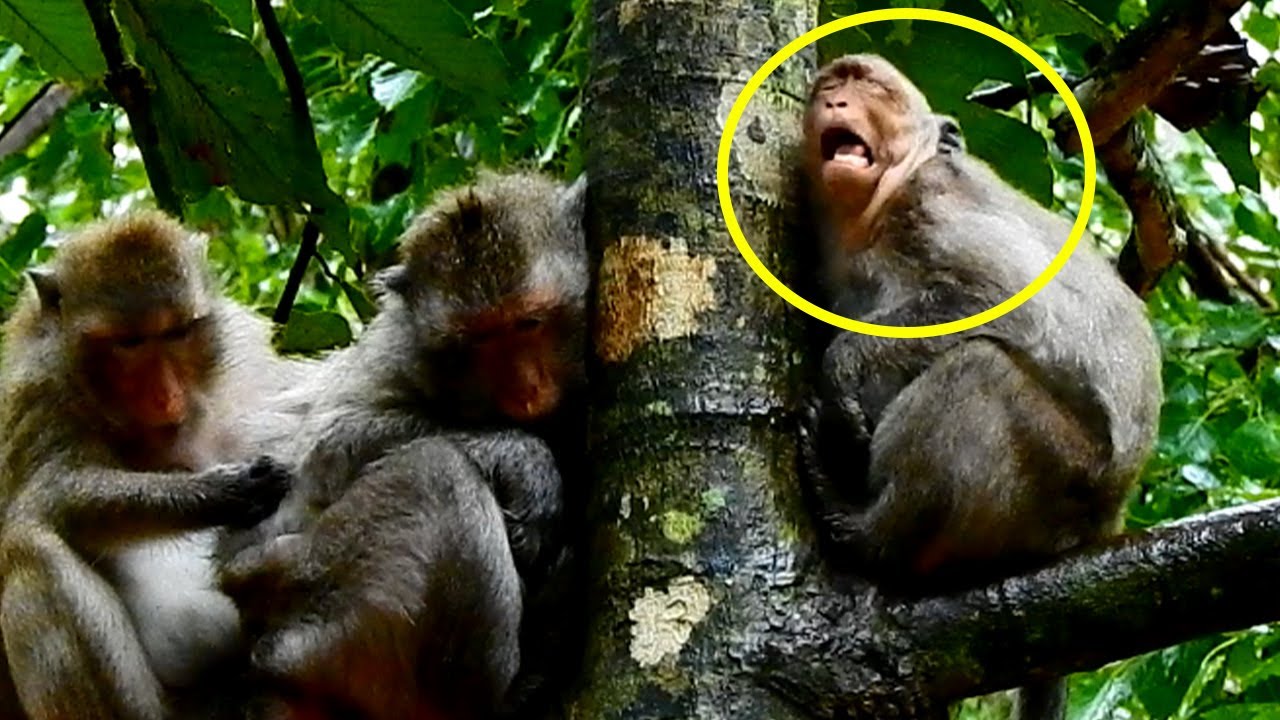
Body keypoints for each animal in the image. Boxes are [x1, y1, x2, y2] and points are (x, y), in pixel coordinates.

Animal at [0, 212, 296, 720]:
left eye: (177, 332)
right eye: (128, 342)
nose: (166, 394)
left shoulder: (247, 354)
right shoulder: (37, 391)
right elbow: (49, 494)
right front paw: (223, 492)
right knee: (27, 544)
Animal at [217, 170, 589, 720]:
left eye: (528, 323)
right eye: (477, 340)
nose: (523, 388)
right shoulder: (398, 351)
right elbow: (332, 442)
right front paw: (527, 463)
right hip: (310, 604)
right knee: (436, 474)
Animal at [796, 55, 1162, 720]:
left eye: (868, 84)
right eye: (828, 86)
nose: (835, 98)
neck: (872, 219)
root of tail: (1105, 520)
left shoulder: (934, 204)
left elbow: (1010, 302)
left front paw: (842, 368)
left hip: (1057, 479)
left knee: (978, 372)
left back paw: (870, 534)